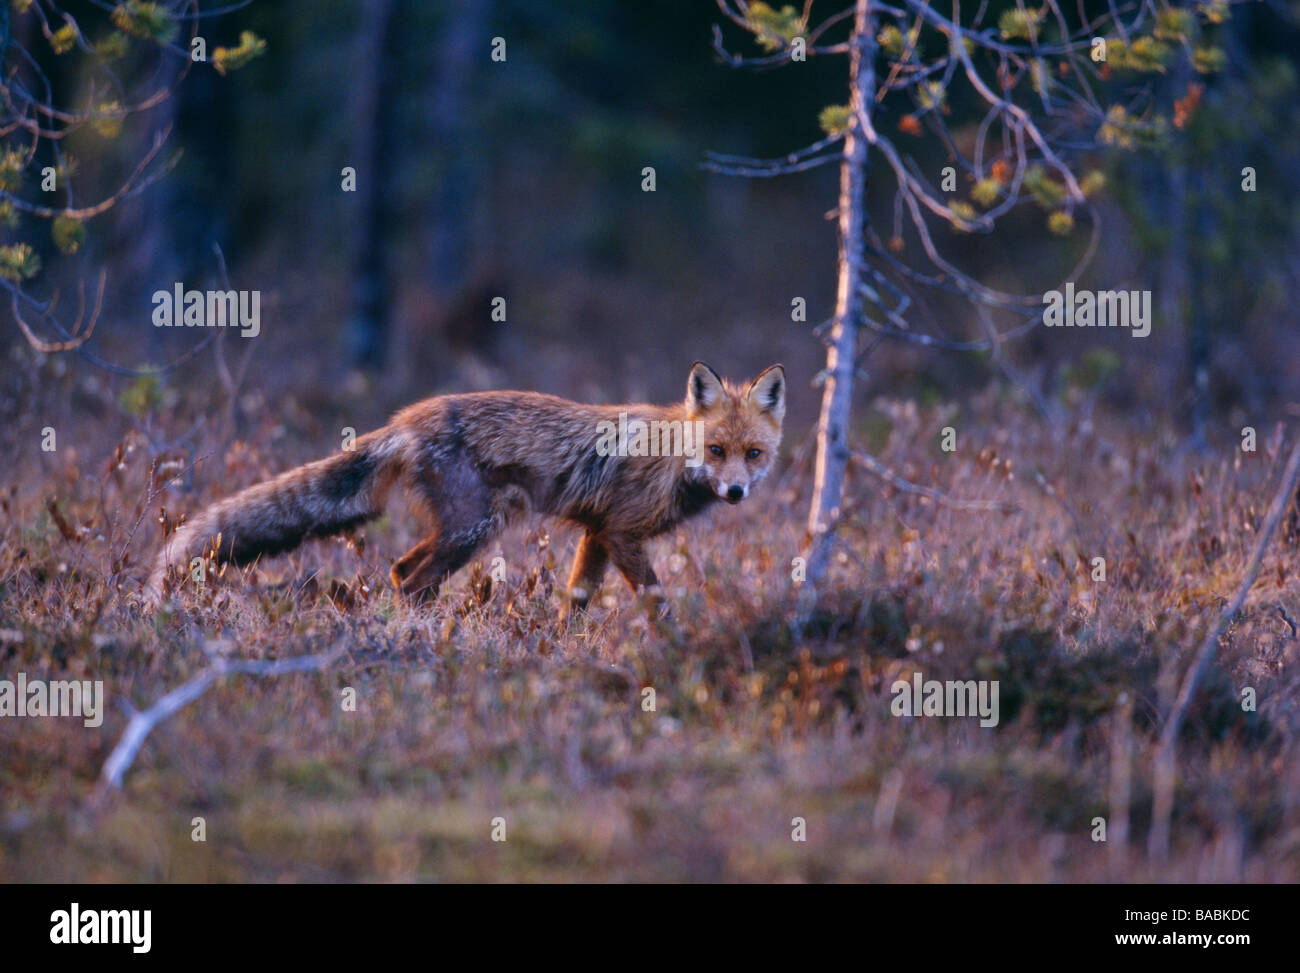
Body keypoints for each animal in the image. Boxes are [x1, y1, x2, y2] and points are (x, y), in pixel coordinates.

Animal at [145, 361, 785, 614]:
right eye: (717, 452)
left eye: (752, 455)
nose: (735, 493)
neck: (673, 460)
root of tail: (407, 418)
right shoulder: (623, 533)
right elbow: (657, 605)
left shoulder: (597, 533)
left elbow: (574, 599)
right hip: (473, 529)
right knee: (408, 578)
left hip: (463, 531)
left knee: (402, 571)